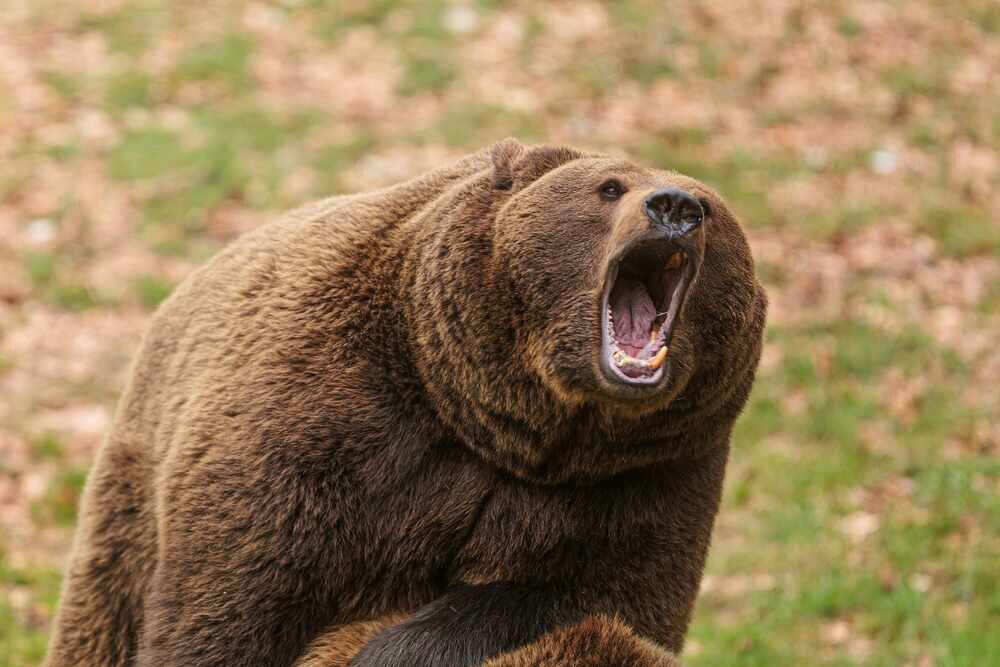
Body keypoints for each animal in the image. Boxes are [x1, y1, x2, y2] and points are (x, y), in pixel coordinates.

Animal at [44, 138, 767, 667]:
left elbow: (602, 596)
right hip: (133, 495)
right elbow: (230, 609)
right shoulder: (325, 429)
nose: (674, 205)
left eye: (711, 209)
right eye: (609, 186)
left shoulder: (646, 478)